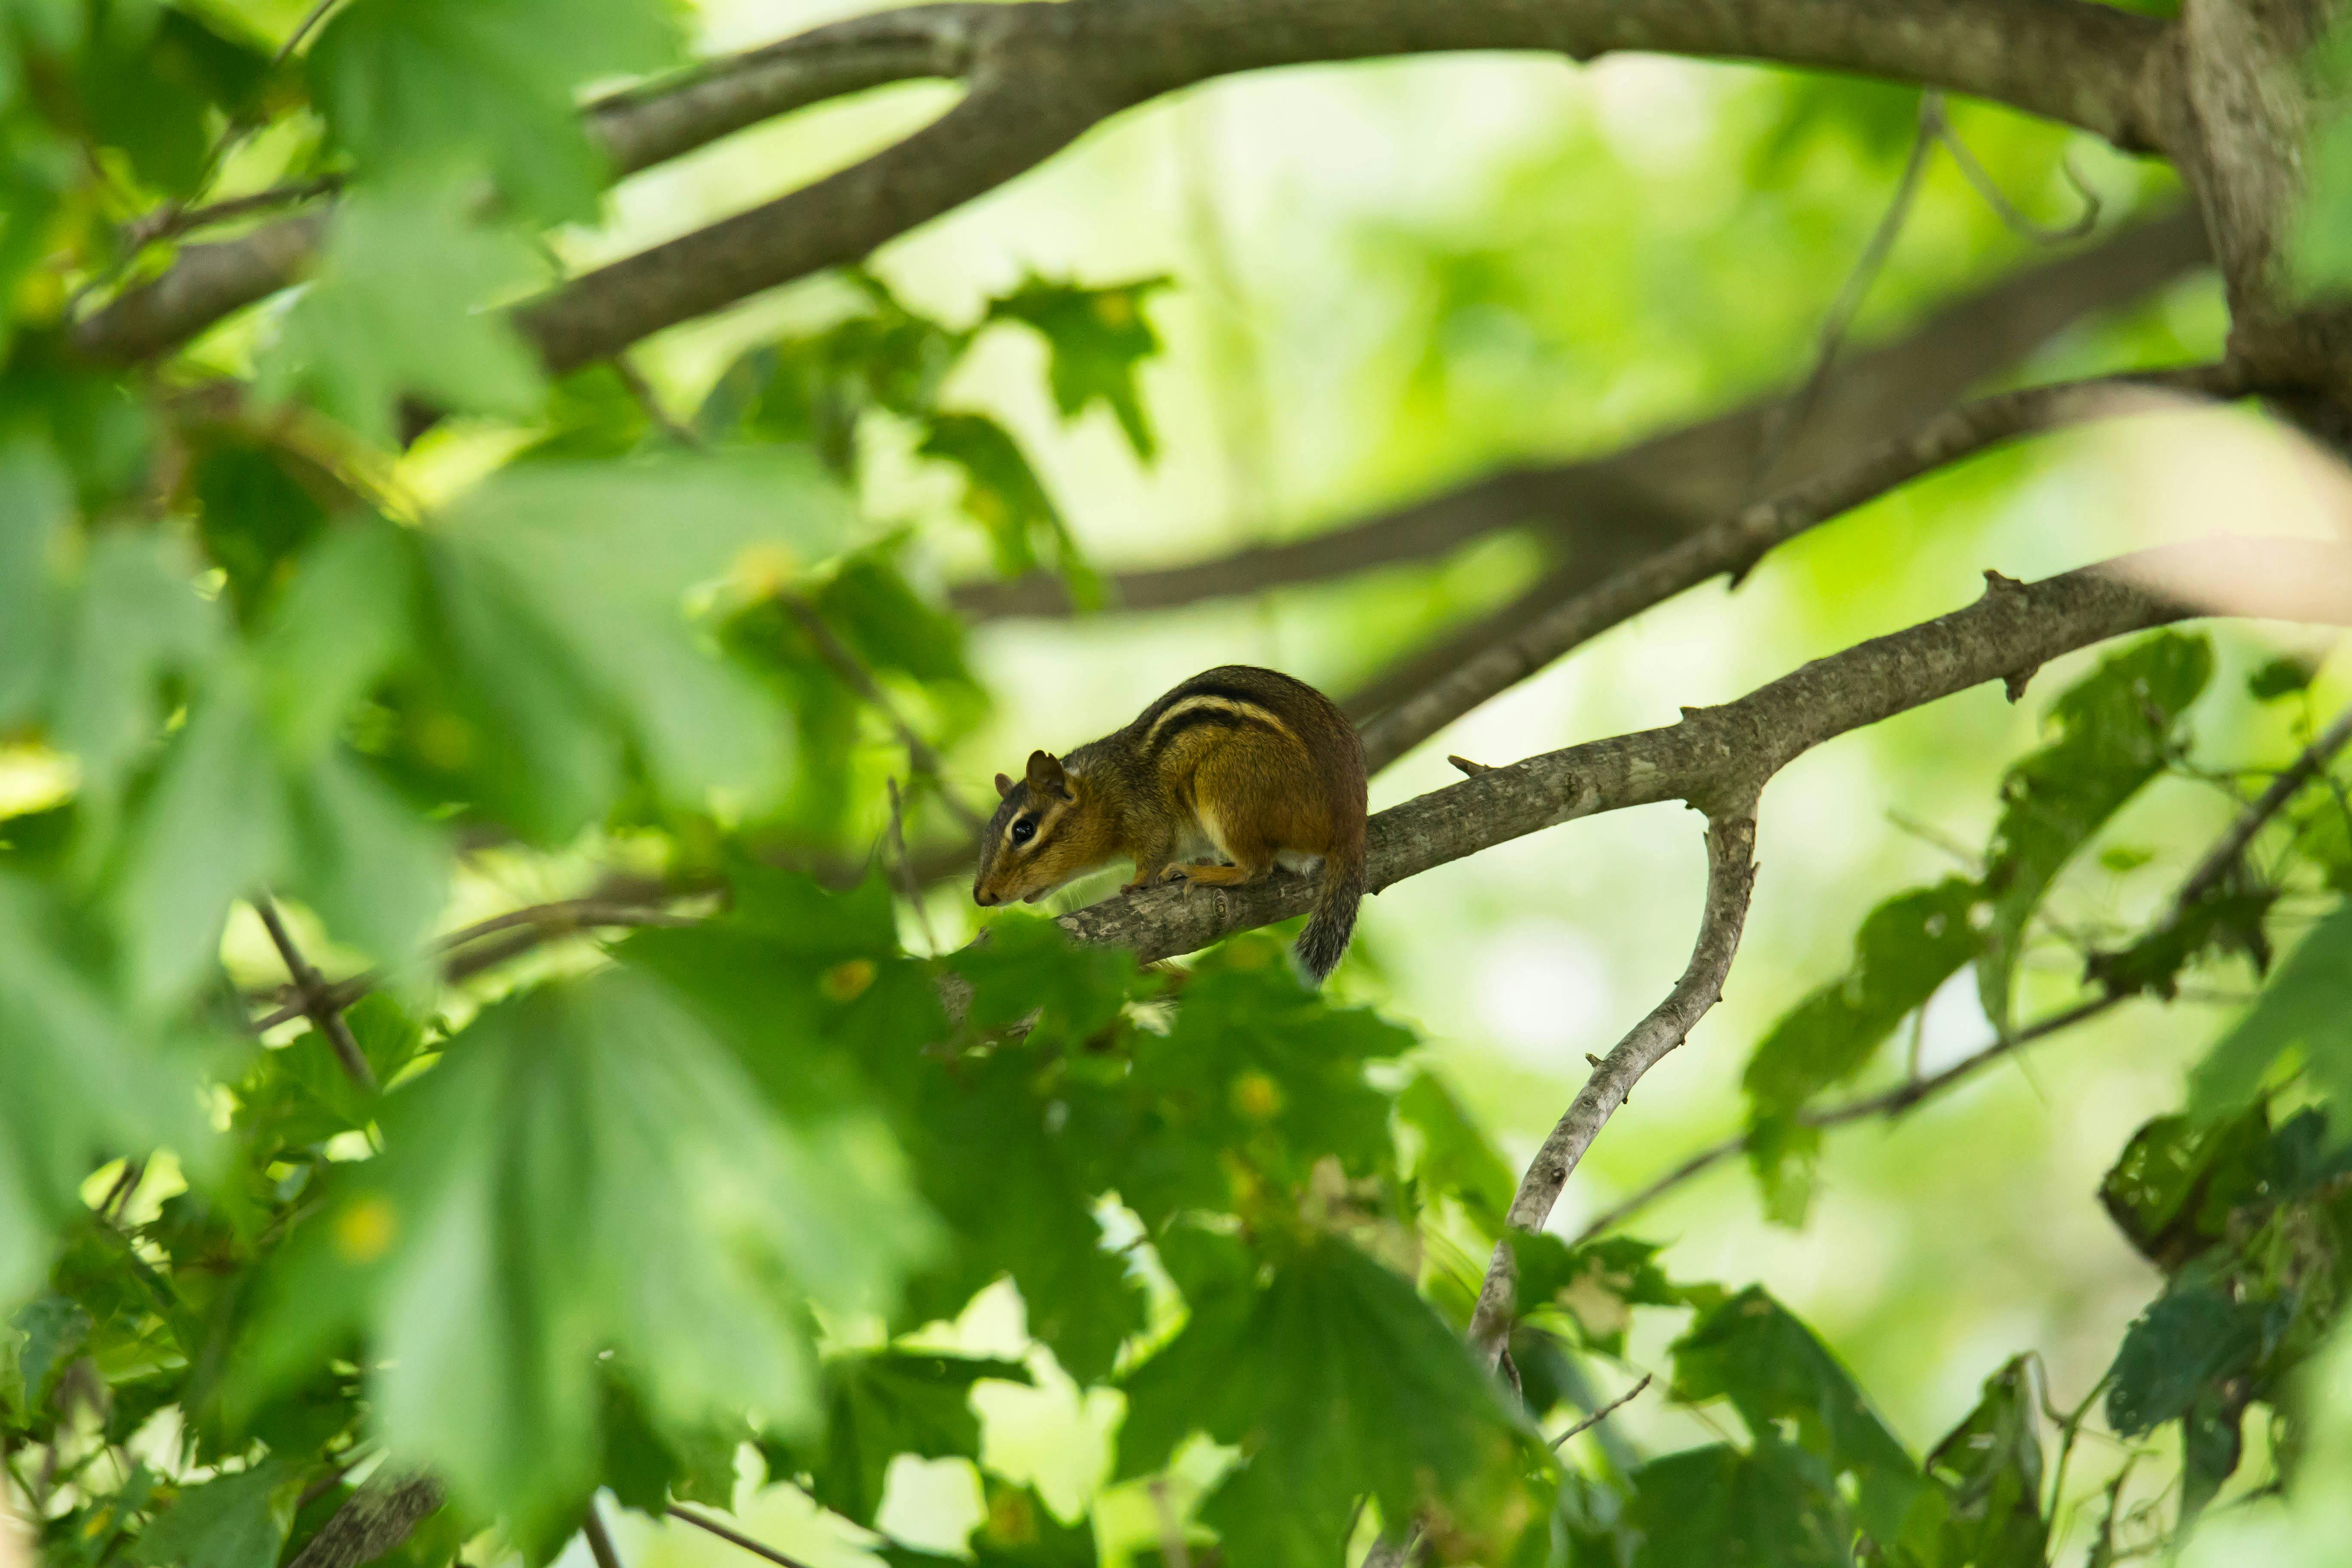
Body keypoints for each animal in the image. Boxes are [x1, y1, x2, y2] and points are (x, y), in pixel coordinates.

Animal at [971, 665, 1369, 983]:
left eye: (1024, 830)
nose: (981, 896)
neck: (1102, 791)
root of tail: (1351, 821)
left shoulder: (1148, 820)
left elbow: (1153, 854)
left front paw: (1138, 882)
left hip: (1224, 783)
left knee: (1256, 869)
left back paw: (1203, 873)